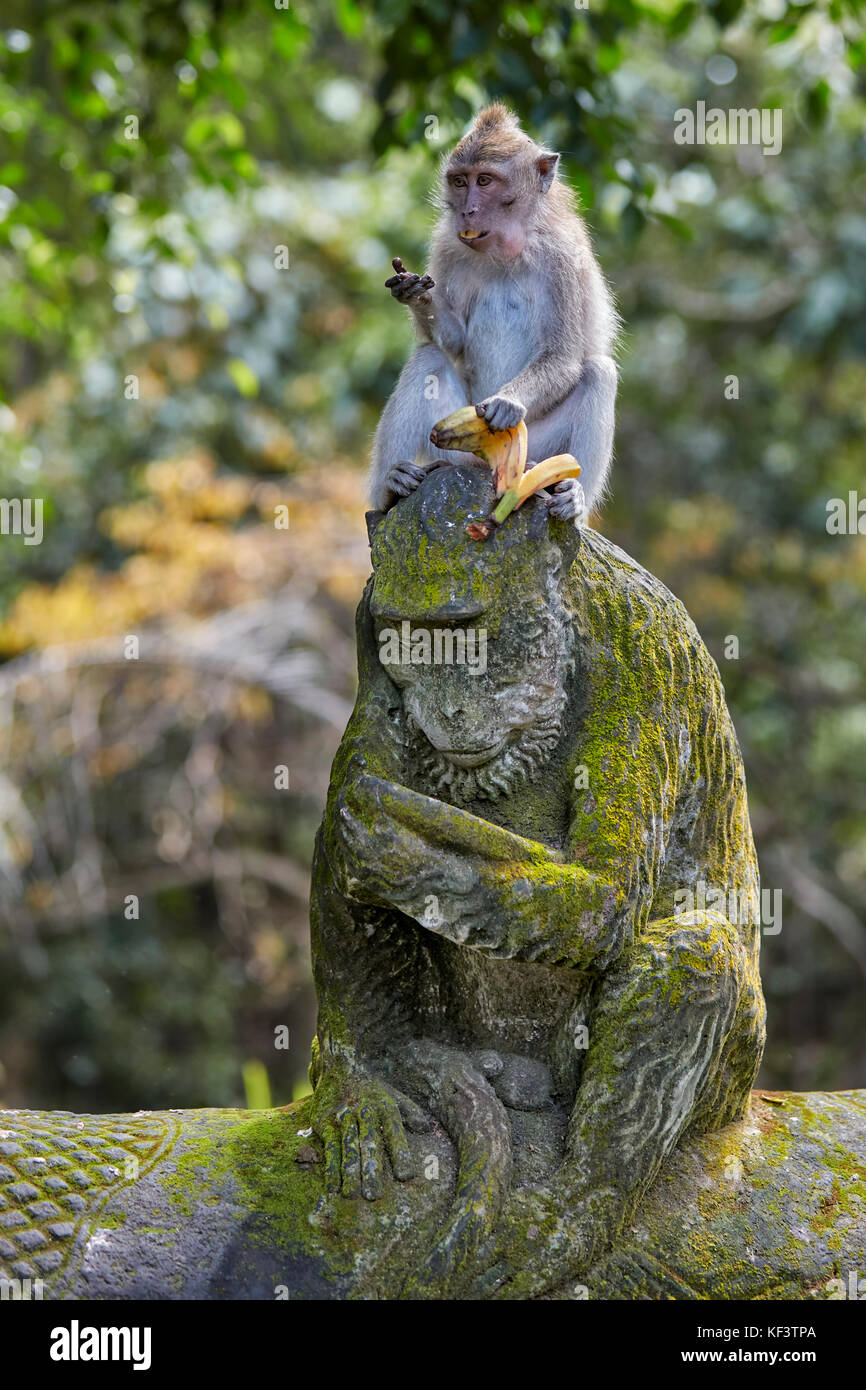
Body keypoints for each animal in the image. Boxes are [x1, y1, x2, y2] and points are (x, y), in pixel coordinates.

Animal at [368, 103, 619, 526]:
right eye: (460, 181)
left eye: (485, 181)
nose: (468, 210)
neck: (507, 250)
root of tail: (482, 468)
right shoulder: (448, 245)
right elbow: (452, 340)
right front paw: (415, 293)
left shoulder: (563, 259)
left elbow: (564, 356)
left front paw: (508, 403)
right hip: (451, 450)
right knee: (428, 358)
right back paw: (389, 487)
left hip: (537, 447)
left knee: (599, 373)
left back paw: (574, 500)